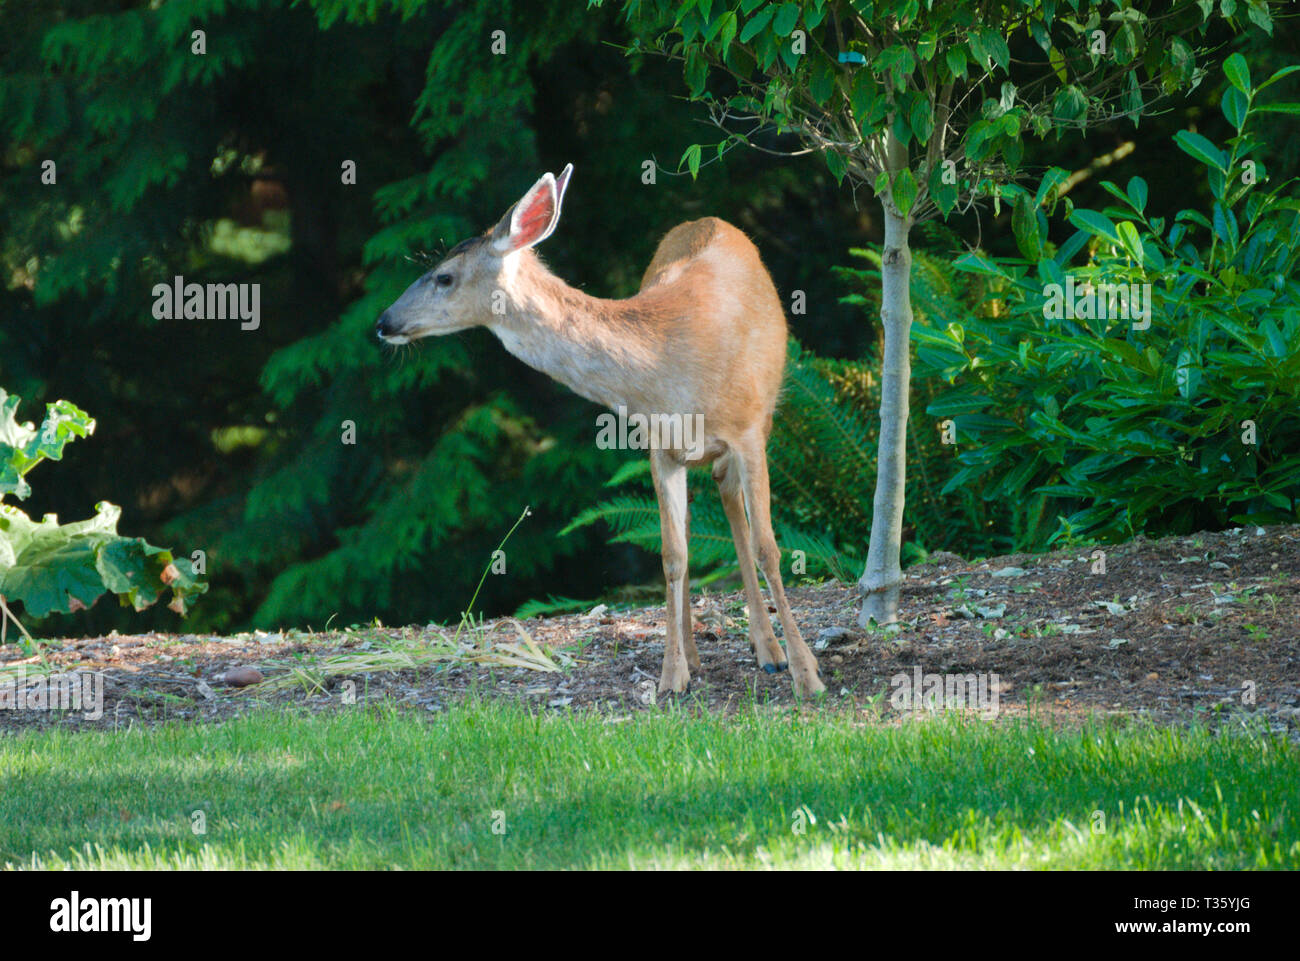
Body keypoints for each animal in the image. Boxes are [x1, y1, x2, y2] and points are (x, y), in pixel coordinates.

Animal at [376, 165, 825, 697]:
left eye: (444, 277)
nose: (384, 321)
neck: (668, 368)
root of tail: (709, 219)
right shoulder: (658, 447)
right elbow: (672, 554)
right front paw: (671, 676)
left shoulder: (748, 431)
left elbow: (768, 548)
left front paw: (807, 674)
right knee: (700, 524)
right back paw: (708, 653)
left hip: (758, 420)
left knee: (735, 512)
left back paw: (770, 652)